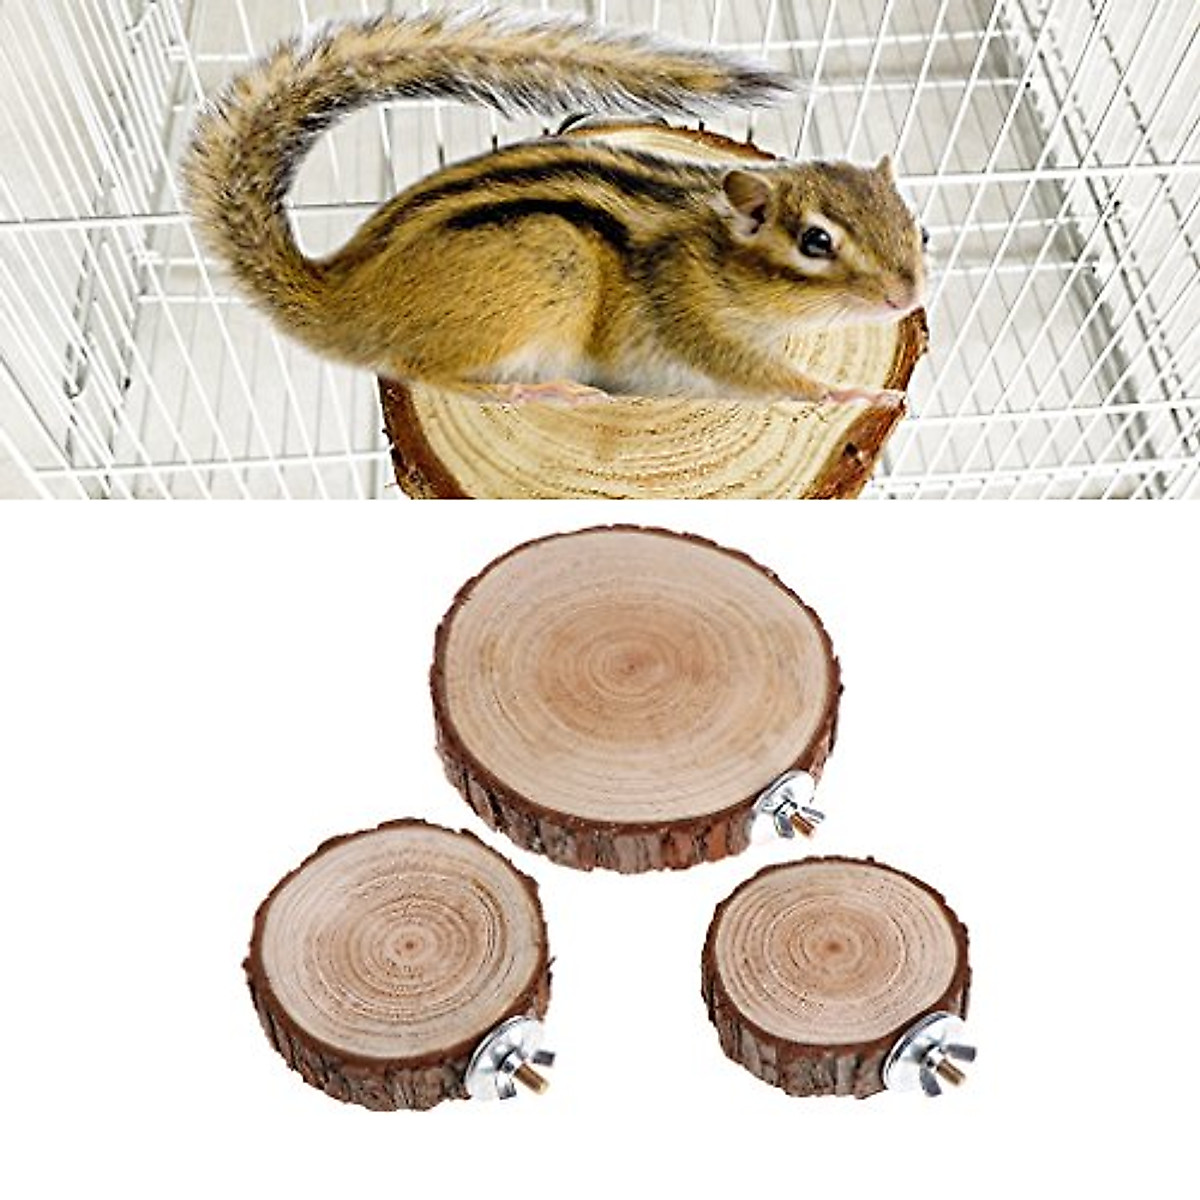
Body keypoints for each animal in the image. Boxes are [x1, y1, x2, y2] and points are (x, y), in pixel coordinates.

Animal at [182, 7, 926, 406]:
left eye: (915, 228)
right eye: (815, 242)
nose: (908, 297)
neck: (717, 256)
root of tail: (342, 292)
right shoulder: (693, 322)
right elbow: (765, 377)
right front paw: (853, 395)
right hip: (546, 266)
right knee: (424, 370)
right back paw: (538, 390)